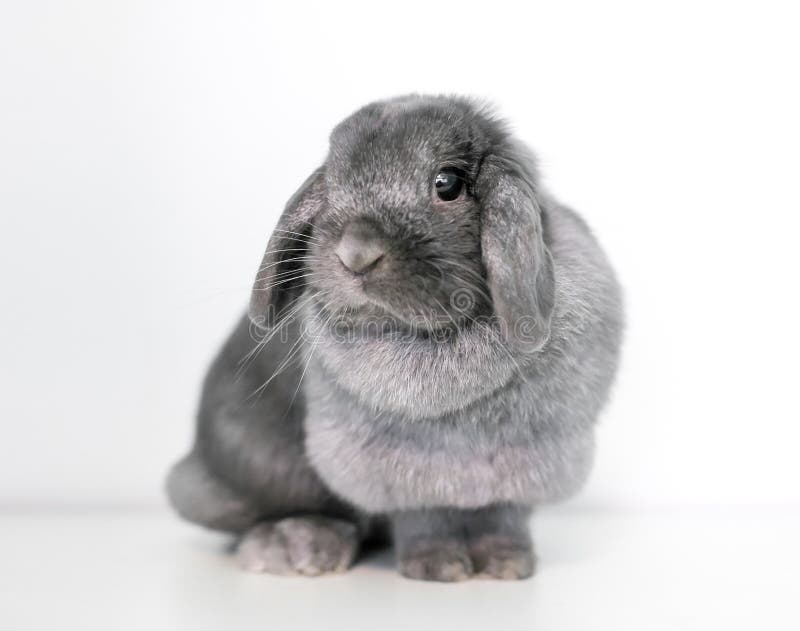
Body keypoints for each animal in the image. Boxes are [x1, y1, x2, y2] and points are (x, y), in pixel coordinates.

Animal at [166, 94, 623, 581]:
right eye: (332, 186)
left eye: (447, 183)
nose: (356, 253)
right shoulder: (398, 471)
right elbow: (425, 518)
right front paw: (438, 566)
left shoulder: (521, 464)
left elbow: (501, 515)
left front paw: (506, 563)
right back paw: (295, 546)